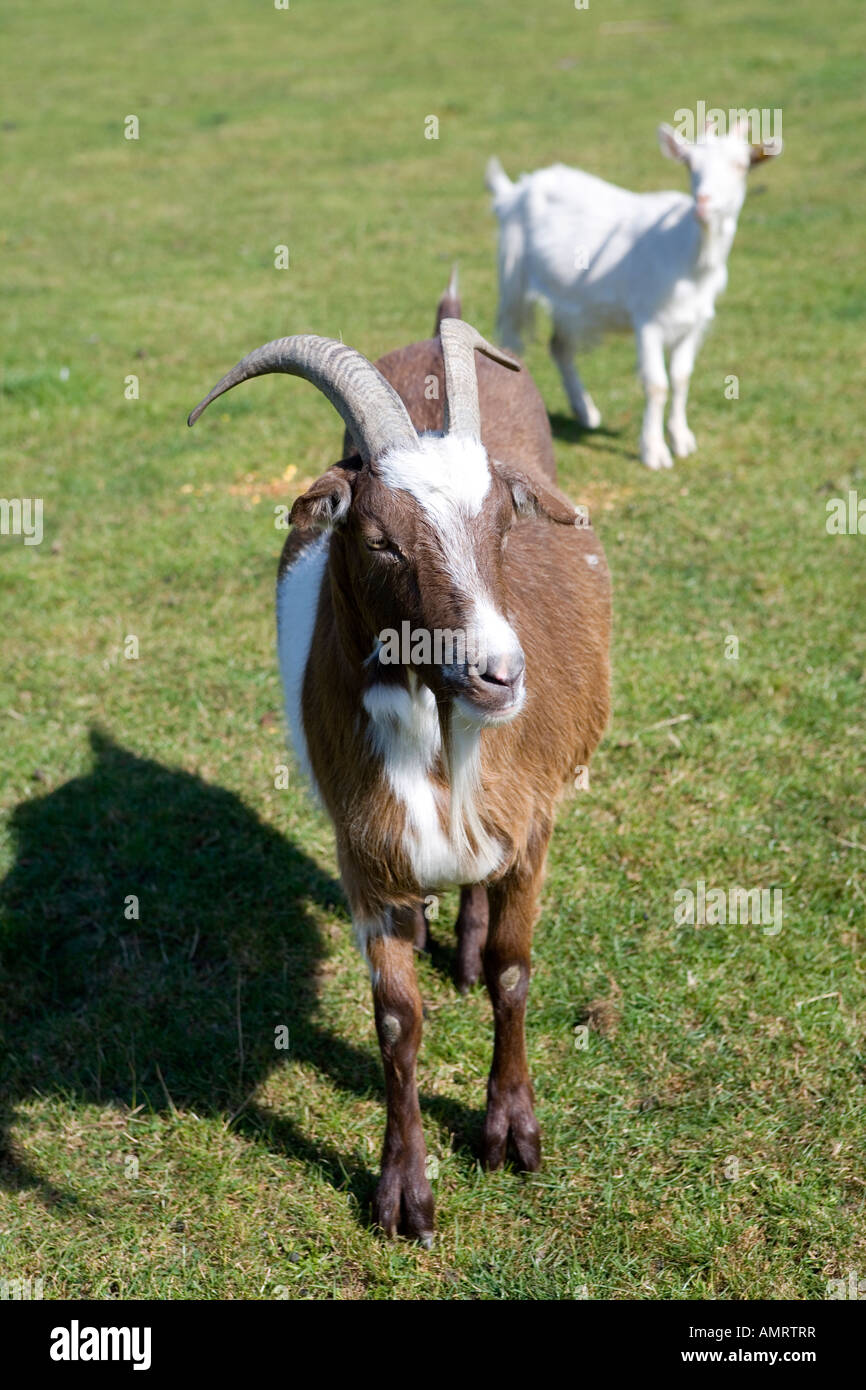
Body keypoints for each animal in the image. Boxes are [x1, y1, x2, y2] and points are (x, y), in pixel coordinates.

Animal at [188, 290, 611, 1245]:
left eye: (503, 523)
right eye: (380, 540)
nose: (501, 674)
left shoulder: (533, 827)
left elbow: (516, 972)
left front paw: (510, 1132)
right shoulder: (364, 855)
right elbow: (395, 1022)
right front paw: (402, 1192)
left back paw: (467, 943)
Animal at [486, 119, 783, 469]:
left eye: (741, 165)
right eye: (690, 164)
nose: (703, 202)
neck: (690, 254)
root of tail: (515, 189)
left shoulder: (694, 322)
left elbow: (681, 378)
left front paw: (682, 440)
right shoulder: (648, 319)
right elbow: (656, 384)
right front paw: (654, 451)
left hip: (570, 303)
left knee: (560, 347)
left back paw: (586, 411)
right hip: (513, 274)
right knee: (511, 339)